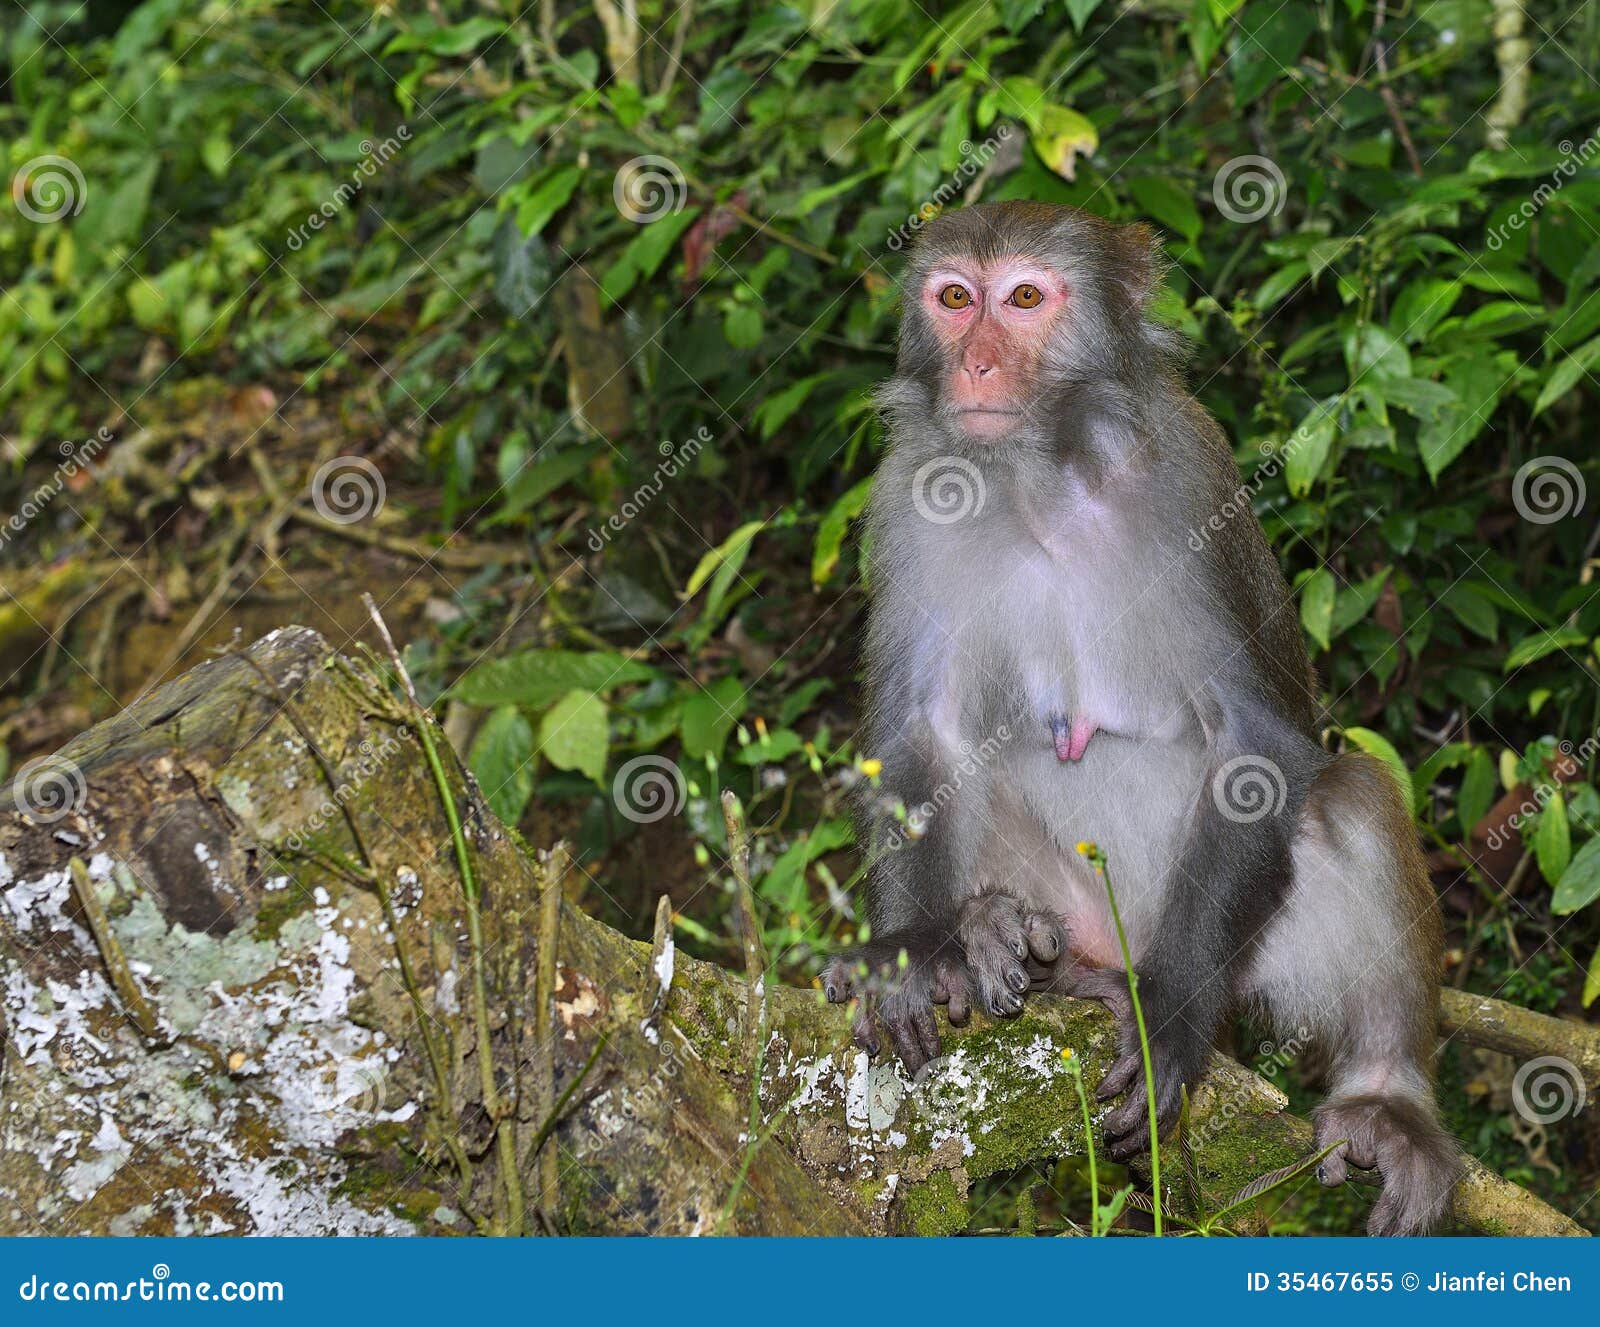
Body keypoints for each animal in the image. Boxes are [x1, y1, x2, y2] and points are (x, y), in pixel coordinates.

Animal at [821, 201, 1459, 1237]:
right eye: (954, 298)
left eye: (1025, 298)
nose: (977, 365)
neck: (1040, 476)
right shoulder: (912, 494)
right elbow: (927, 736)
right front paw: (912, 950)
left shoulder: (1190, 481)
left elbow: (1257, 746)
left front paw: (1165, 1021)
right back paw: (1000, 933)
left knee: (1356, 790)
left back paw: (1383, 1097)